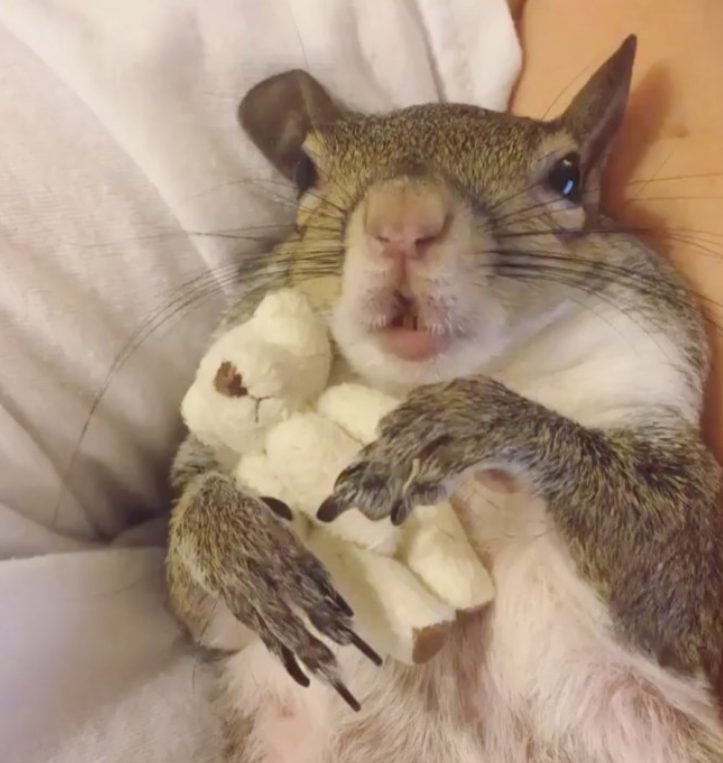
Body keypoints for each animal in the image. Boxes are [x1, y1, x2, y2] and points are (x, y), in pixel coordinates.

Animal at [166, 36, 723, 763]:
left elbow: (680, 577)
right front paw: (240, 551)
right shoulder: (220, 617)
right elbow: (192, 593)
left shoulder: (653, 392)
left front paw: (471, 420)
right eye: (305, 173)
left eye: (567, 177)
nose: (402, 218)